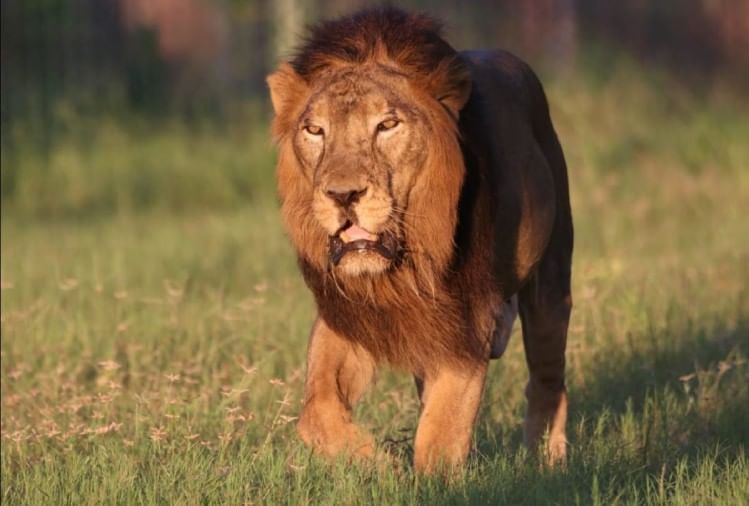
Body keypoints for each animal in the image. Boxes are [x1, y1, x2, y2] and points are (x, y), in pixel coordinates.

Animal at [267, 7, 573, 474]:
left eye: (387, 125)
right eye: (315, 130)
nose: (343, 195)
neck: (399, 270)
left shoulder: (466, 324)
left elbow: (441, 436)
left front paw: (426, 480)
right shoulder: (346, 312)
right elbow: (316, 412)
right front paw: (379, 465)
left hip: (550, 280)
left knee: (548, 377)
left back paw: (546, 458)